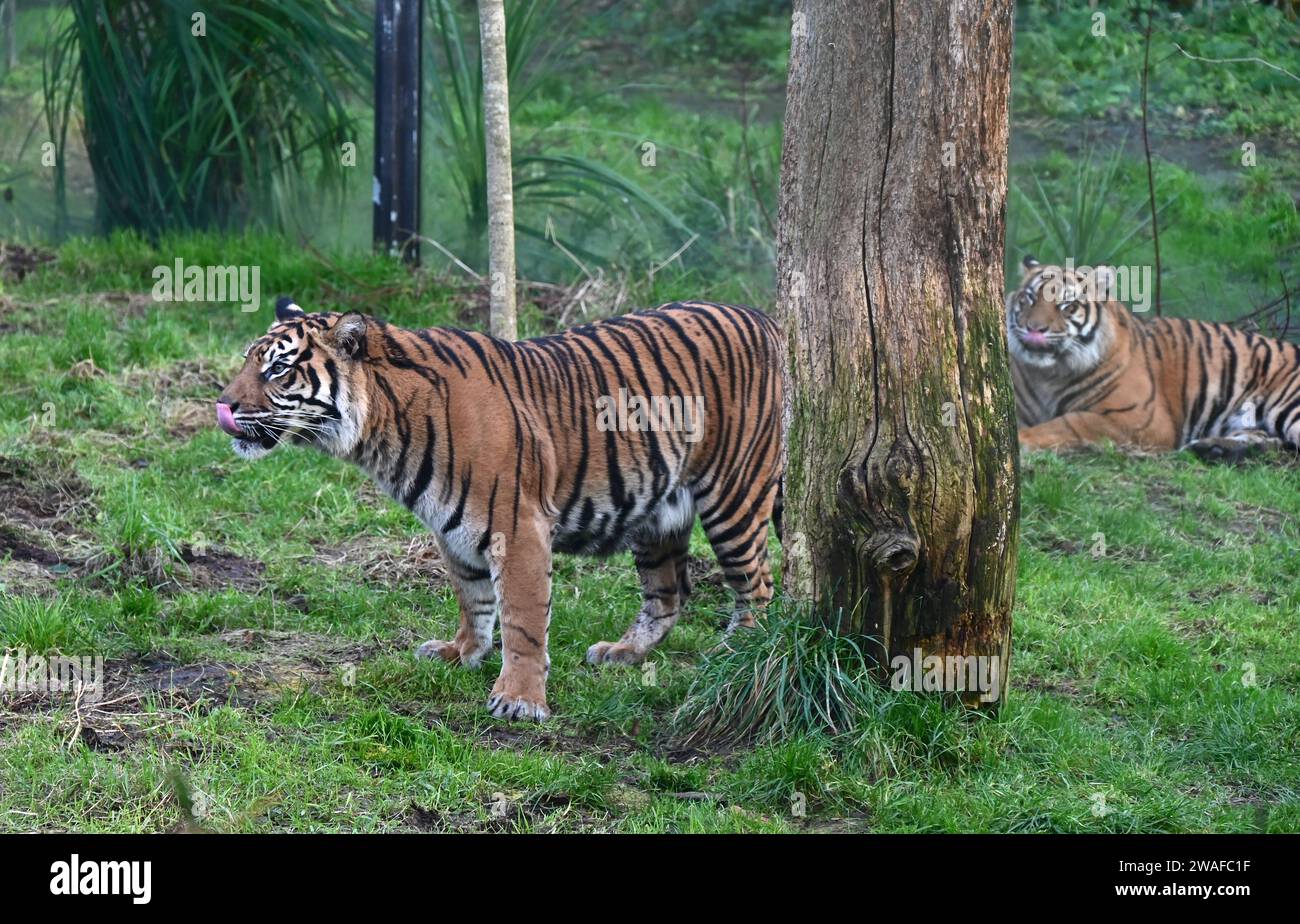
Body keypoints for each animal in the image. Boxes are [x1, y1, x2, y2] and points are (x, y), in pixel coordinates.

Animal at [216, 297, 784, 721]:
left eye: (279, 369)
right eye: (248, 360)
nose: (224, 404)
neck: (382, 431)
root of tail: (766, 318)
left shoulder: (520, 528)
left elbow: (523, 619)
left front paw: (520, 699)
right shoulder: (452, 529)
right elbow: (473, 598)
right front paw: (461, 653)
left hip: (735, 497)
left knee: (758, 588)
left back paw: (735, 658)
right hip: (657, 514)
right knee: (669, 593)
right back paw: (624, 653)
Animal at [1007, 257, 1300, 458]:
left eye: (1066, 306)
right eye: (1029, 298)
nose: (1034, 329)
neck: (1048, 375)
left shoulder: (1136, 418)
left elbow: (1070, 423)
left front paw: (1022, 440)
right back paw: (1213, 449)